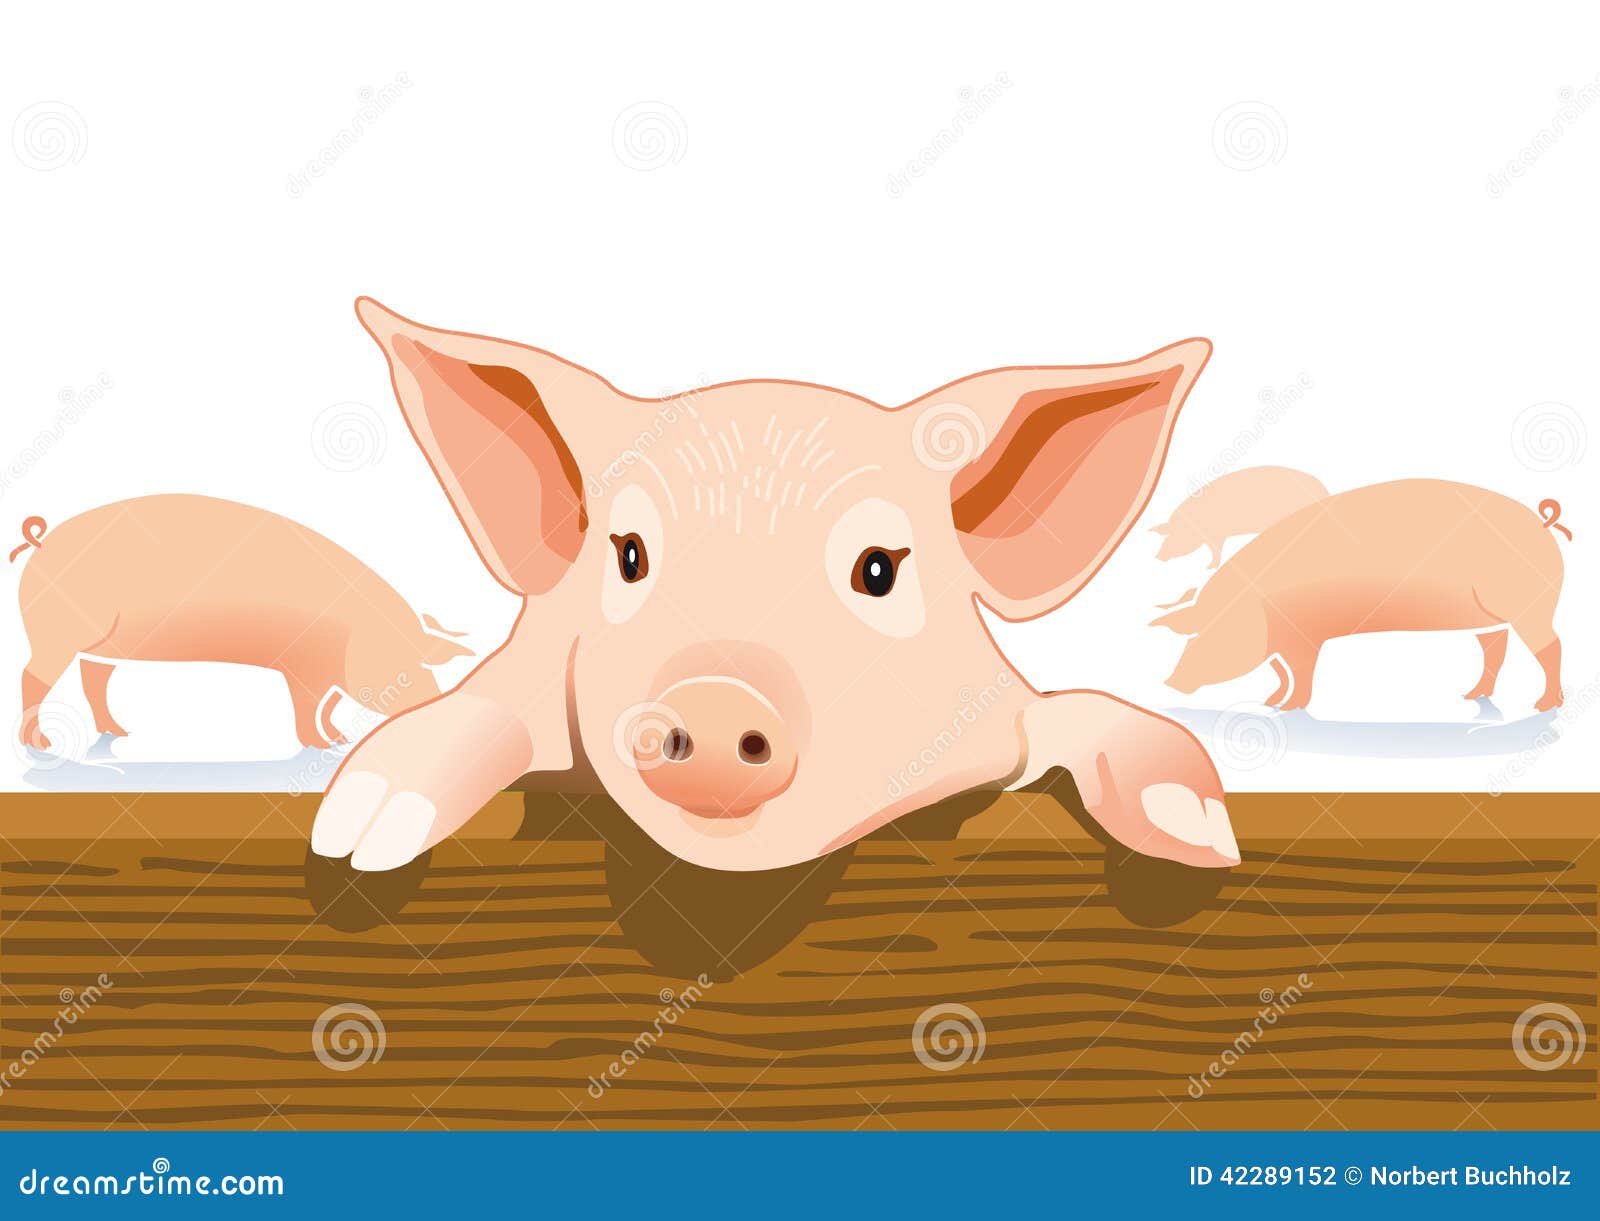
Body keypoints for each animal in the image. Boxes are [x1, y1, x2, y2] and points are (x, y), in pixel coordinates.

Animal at [14, 494, 472, 752]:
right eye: (408, 671)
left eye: (428, 667)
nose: (436, 708)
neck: (356, 635)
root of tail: (43, 541)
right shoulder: (301, 669)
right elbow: (308, 707)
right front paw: (321, 745)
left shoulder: (328, 673)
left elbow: (330, 705)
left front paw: (340, 740)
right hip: (56, 635)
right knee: (32, 676)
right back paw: (42, 744)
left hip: (105, 645)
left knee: (94, 679)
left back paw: (121, 733)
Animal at [309, 297, 1241, 875]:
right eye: (630, 555)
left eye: (878, 568)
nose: (717, 699)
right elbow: (486, 708)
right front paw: (354, 832)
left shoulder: (994, 721)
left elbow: (1077, 709)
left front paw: (1200, 833)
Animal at [1151, 465, 1328, 568]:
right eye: (1166, 536)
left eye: (1175, 535)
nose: (1157, 556)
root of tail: (1323, 488)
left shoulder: (1216, 536)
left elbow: (1216, 551)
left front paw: (1209, 567)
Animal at [1152, 480, 1569, 713]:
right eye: (1189, 636)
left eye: (1210, 635)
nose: (1169, 681)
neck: (1255, 608)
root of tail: (1542, 523)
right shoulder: (1281, 643)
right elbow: (1279, 671)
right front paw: (1272, 703)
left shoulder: (1305, 639)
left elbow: (1300, 672)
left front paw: (1289, 709)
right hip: (1486, 618)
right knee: (1494, 649)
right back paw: (1470, 697)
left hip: (1531, 608)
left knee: (1551, 646)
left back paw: (1543, 706)